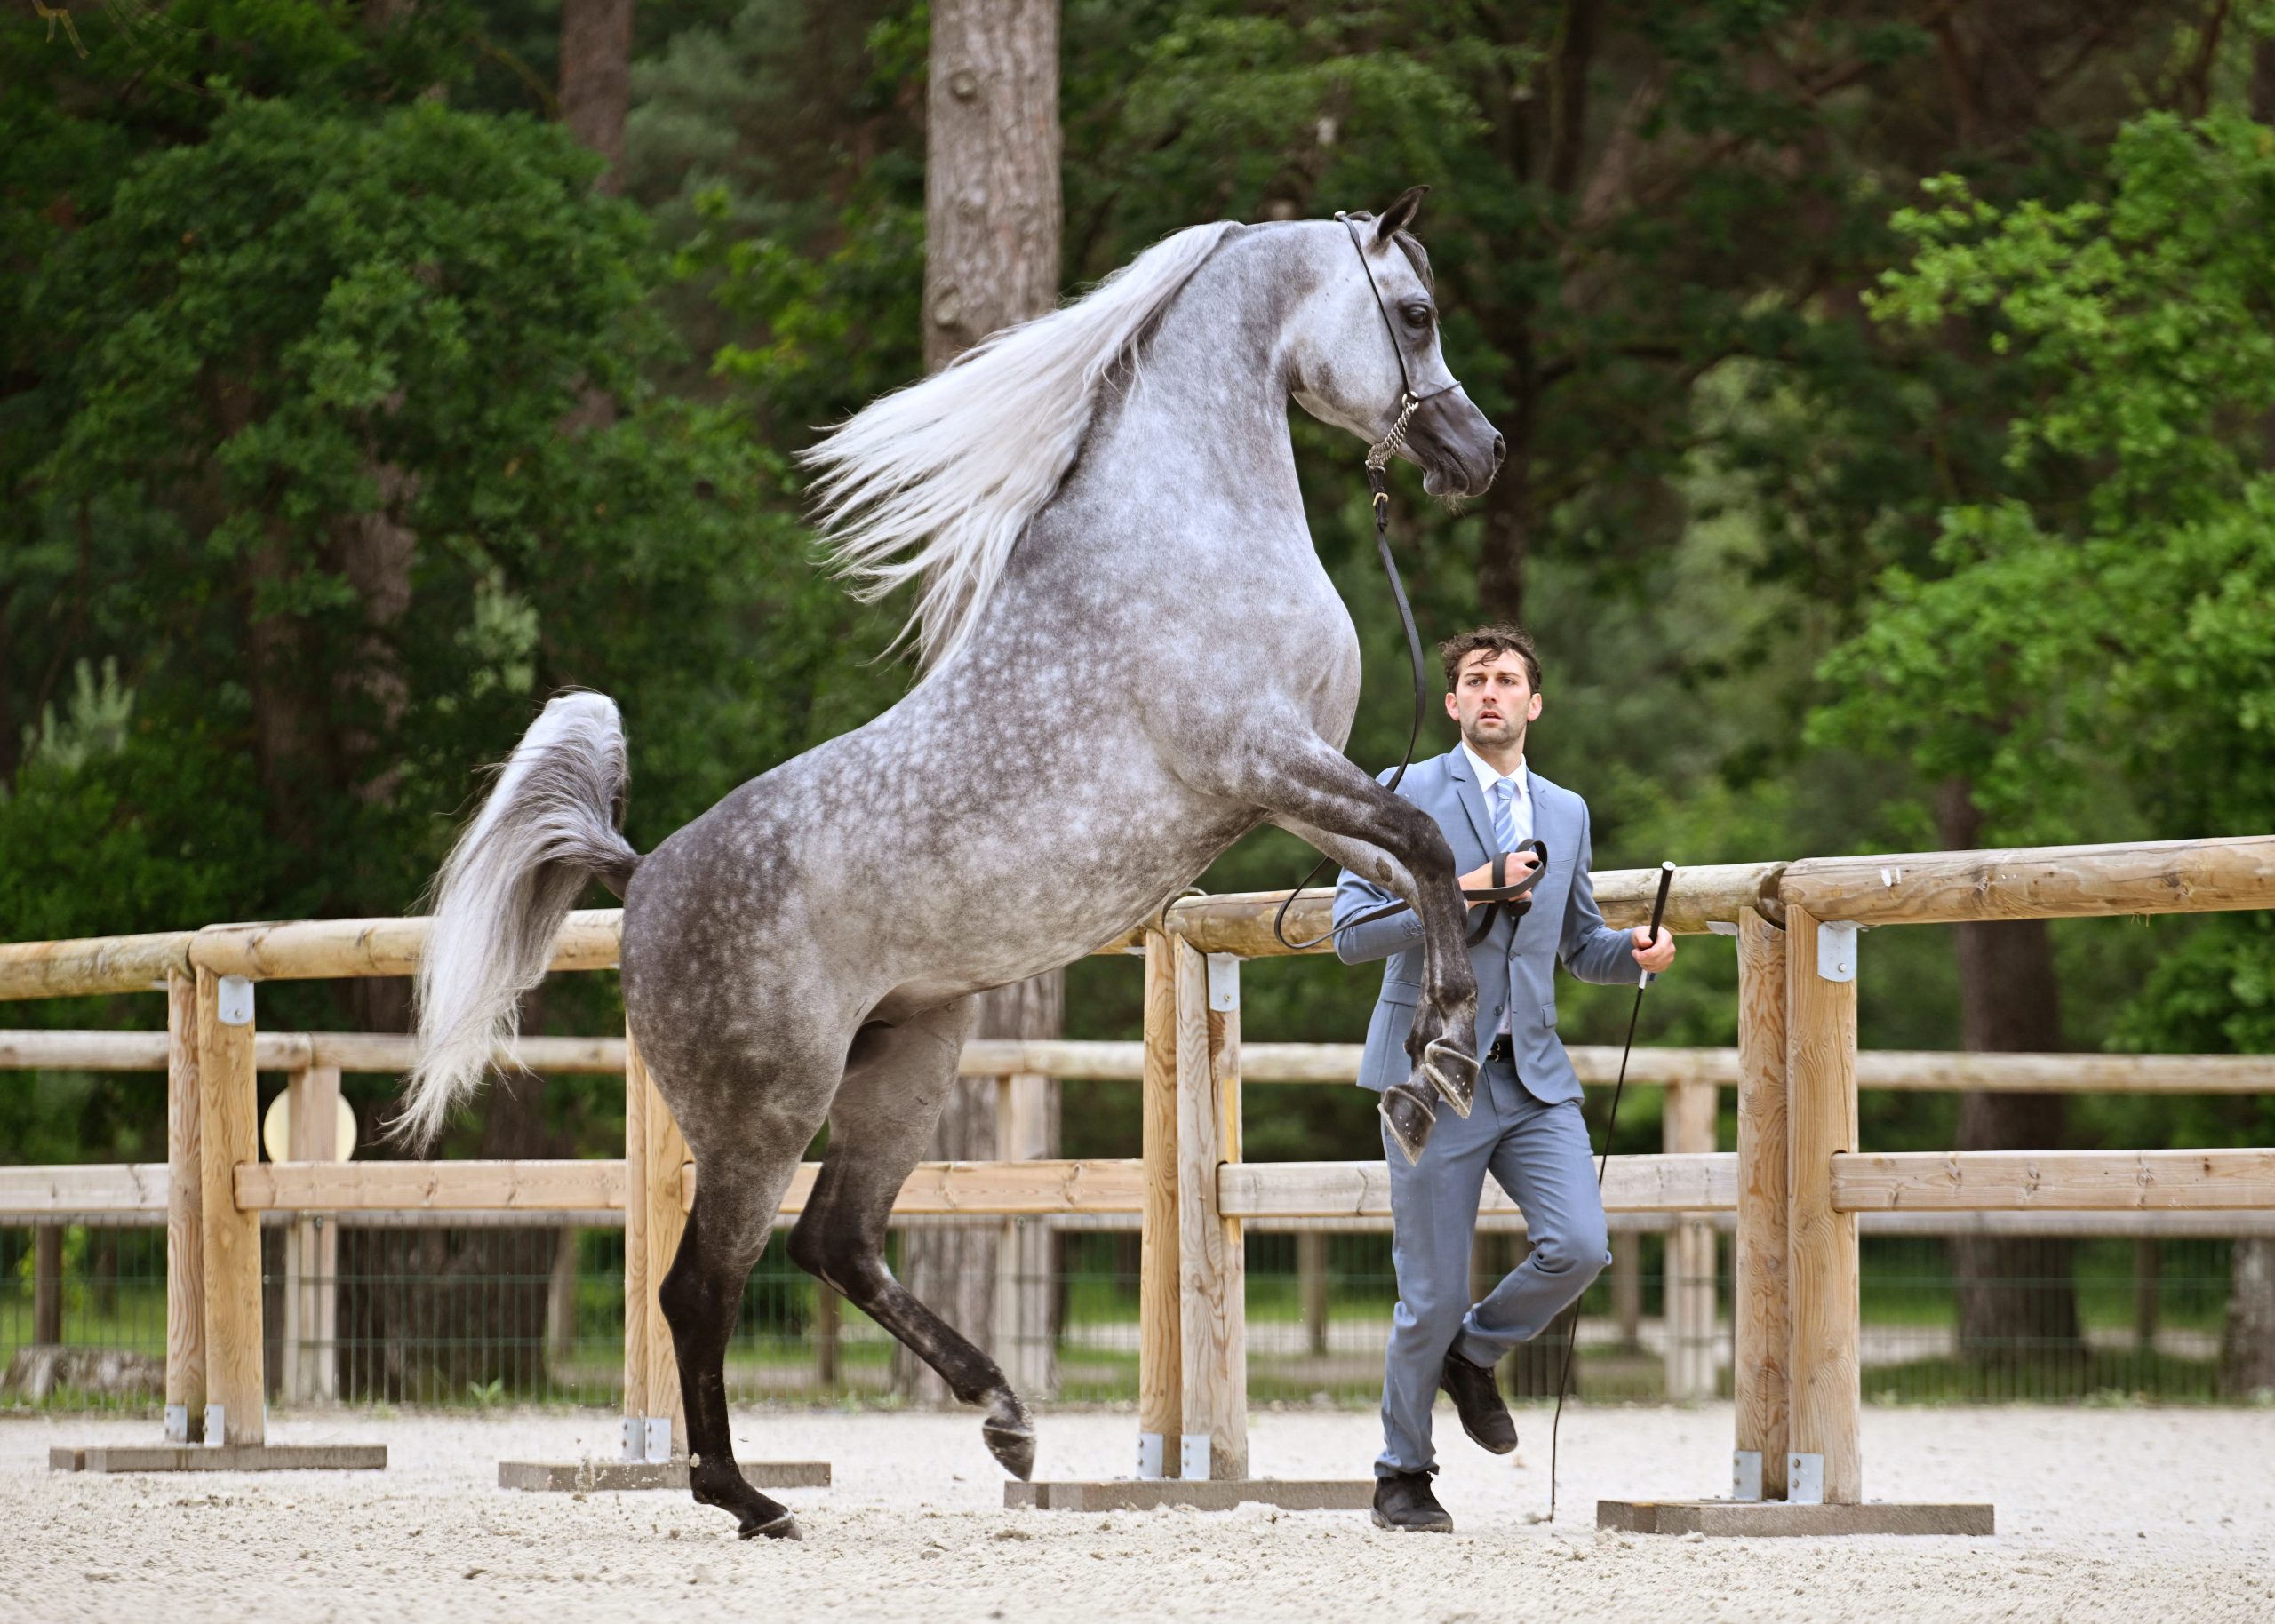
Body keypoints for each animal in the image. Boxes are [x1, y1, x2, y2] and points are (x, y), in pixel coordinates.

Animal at [402, 189, 1503, 1541]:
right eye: (1417, 311)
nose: (1480, 450)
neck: (1184, 530)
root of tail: (642, 869)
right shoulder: (1264, 760)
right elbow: (1430, 845)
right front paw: (1443, 1061)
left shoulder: (1292, 799)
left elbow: (1422, 879)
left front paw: (1433, 1063)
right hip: (764, 1112)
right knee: (703, 1287)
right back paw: (751, 1497)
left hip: (910, 1061)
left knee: (837, 1242)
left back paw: (1006, 1419)